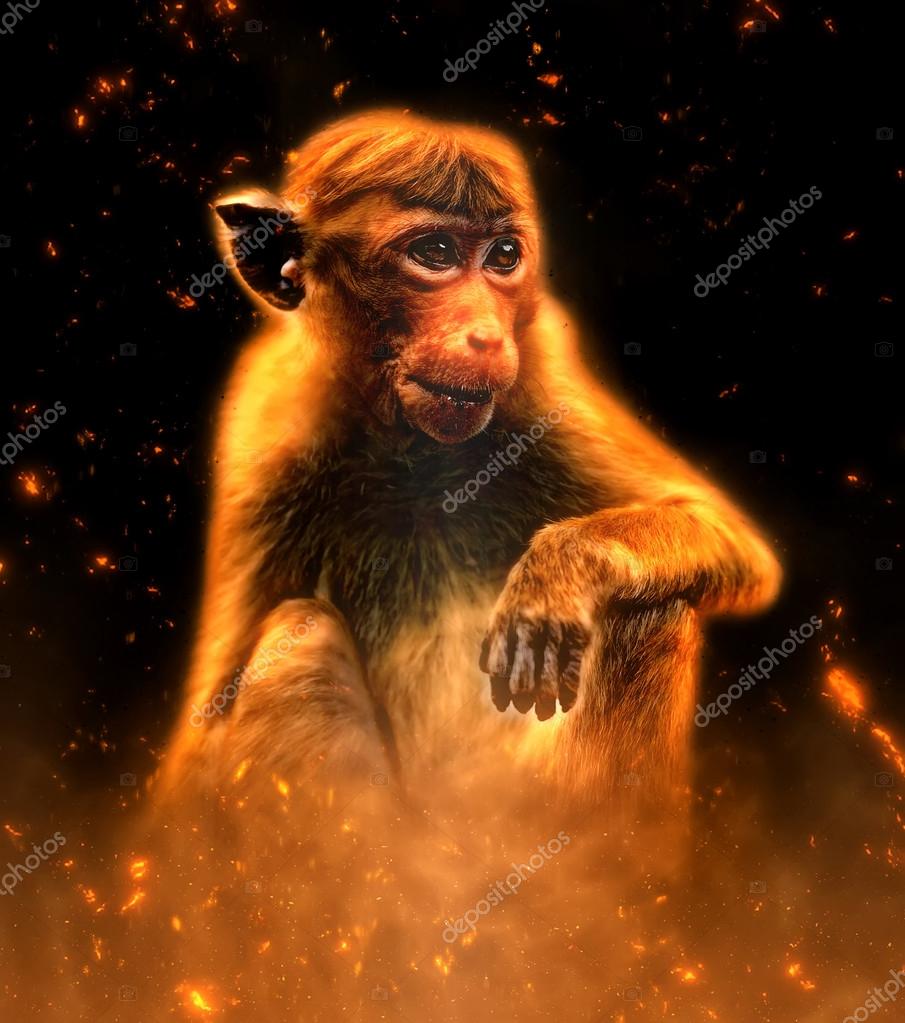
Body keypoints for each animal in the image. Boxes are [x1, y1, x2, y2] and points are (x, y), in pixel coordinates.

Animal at [159, 109, 781, 806]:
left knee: (648, 611)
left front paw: (557, 572)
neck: (416, 454)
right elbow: (212, 709)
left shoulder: (541, 378)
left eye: (503, 257)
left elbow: (722, 533)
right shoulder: (272, 428)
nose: (485, 336)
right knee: (300, 633)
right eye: (434, 254)